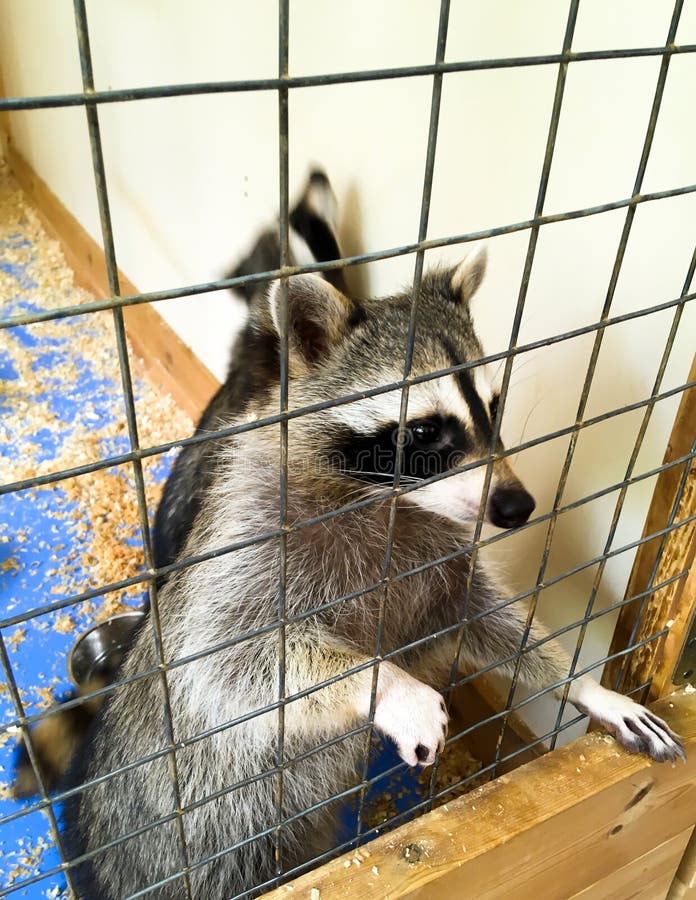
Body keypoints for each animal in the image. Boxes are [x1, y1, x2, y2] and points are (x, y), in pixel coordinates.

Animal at [61, 248, 683, 899]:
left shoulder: (436, 564)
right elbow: (224, 660)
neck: (386, 501)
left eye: (493, 407)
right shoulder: (249, 545)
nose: (516, 507)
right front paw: (387, 684)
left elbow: (487, 619)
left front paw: (584, 686)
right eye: (424, 430)